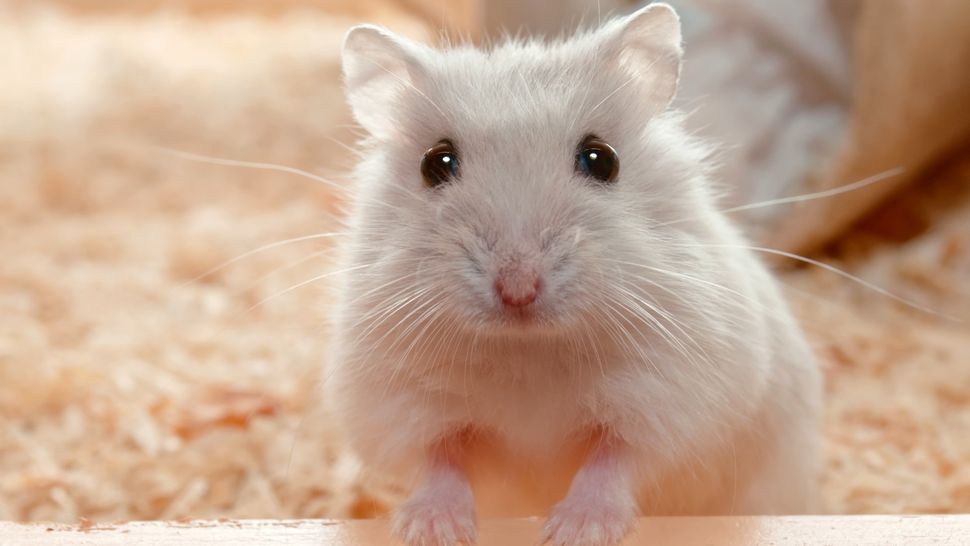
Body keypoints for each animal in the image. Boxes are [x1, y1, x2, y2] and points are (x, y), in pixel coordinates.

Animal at [325, 4, 822, 546]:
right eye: (435, 163)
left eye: (601, 159)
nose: (518, 289)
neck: (529, 351)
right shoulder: (399, 403)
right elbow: (438, 461)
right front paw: (432, 528)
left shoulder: (669, 401)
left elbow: (614, 461)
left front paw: (574, 530)